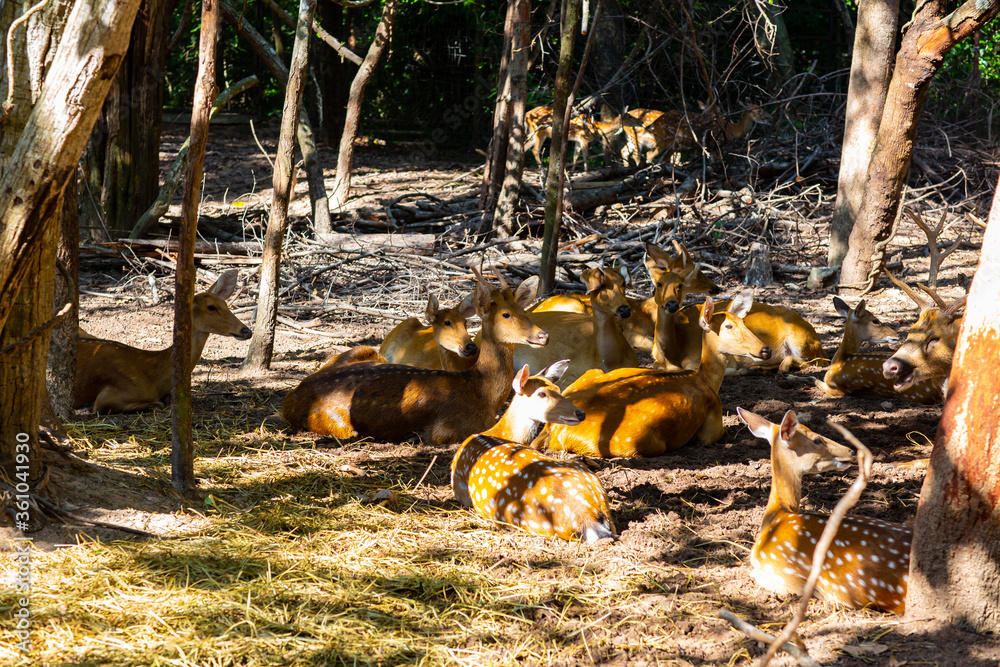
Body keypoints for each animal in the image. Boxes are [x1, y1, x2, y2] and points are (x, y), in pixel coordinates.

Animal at [75, 270, 252, 413]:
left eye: (226, 304)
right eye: (211, 307)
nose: (246, 331)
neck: (155, 377)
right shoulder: (109, 395)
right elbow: (158, 404)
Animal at [281, 270, 548, 445]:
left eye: (524, 311)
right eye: (506, 314)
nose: (543, 335)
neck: (482, 391)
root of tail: (289, 400)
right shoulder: (446, 430)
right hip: (337, 422)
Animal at [533, 292, 770, 457]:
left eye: (744, 323)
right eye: (728, 326)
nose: (764, 349)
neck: (706, 380)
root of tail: (555, 430)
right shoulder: (712, 428)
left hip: (588, 375)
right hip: (640, 443)